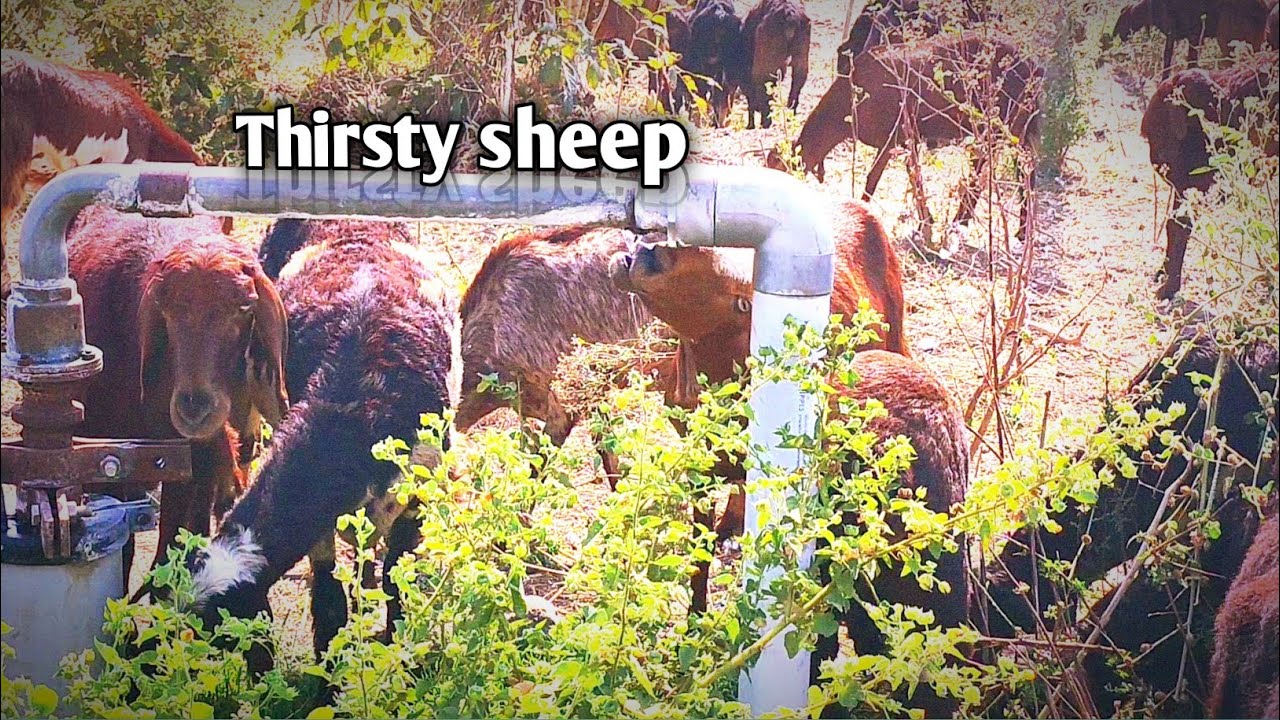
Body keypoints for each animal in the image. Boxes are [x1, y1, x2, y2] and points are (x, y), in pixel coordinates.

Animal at [192, 219, 453, 670]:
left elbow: (397, 582)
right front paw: (328, 673)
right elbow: (330, 601)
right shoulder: (321, 529)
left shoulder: (417, 496)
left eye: (226, 629)